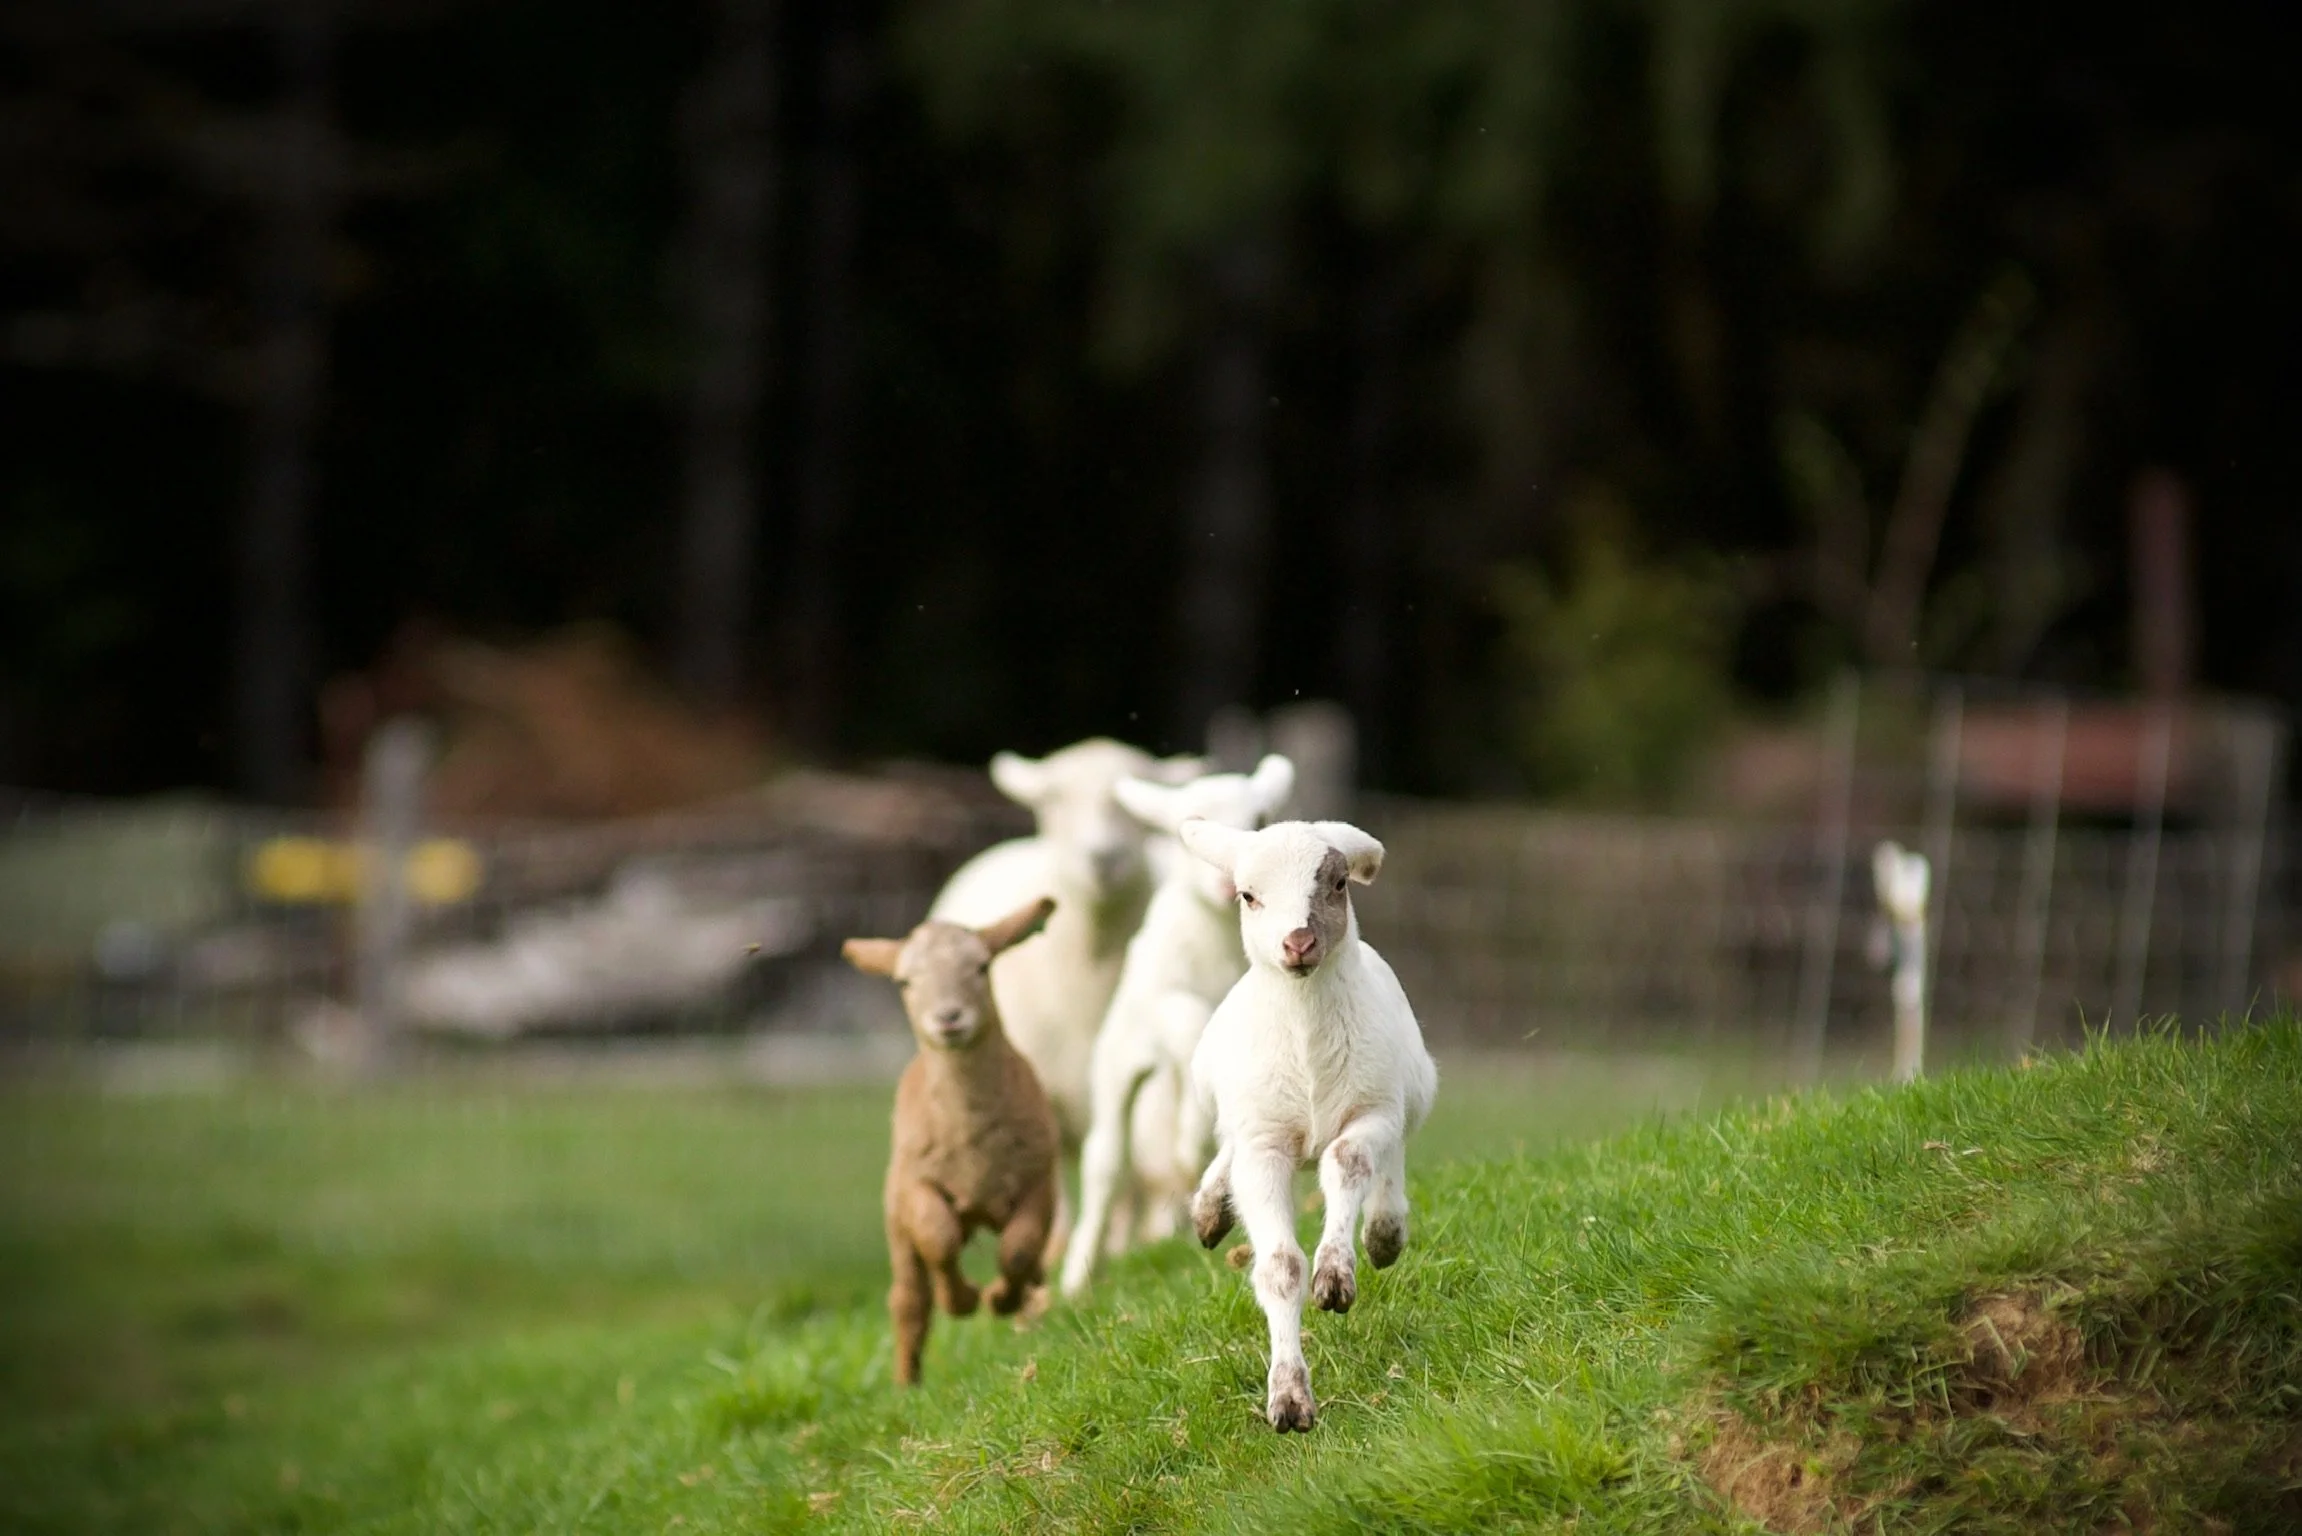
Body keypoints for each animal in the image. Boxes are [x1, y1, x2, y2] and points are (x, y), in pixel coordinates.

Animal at [842, 896, 1062, 1386]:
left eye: (981, 966)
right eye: (904, 981)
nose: (948, 1018)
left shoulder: (1040, 1178)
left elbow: (1019, 1249)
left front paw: (1001, 1299)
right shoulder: (915, 1184)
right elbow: (938, 1238)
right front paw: (961, 1301)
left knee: (1031, 1261)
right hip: (895, 1214)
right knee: (908, 1298)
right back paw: (907, 1382)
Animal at [1059, 754, 1297, 1297]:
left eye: (1259, 820)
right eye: (1187, 829)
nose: (1227, 885)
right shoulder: (1162, 995)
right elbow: (1187, 1018)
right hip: (1116, 1063)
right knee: (1106, 1162)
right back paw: (1078, 1275)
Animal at [1177, 817, 1438, 1432]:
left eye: (1338, 883)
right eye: (1248, 895)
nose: (1298, 942)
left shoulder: (1371, 1109)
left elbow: (1348, 1160)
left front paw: (1336, 1277)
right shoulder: (1264, 1143)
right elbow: (1278, 1267)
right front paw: (1289, 1401)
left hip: (1406, 1091)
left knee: (1389, 1160)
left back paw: (1384, 1232)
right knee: (1227, 1149)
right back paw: (1209, 1211)